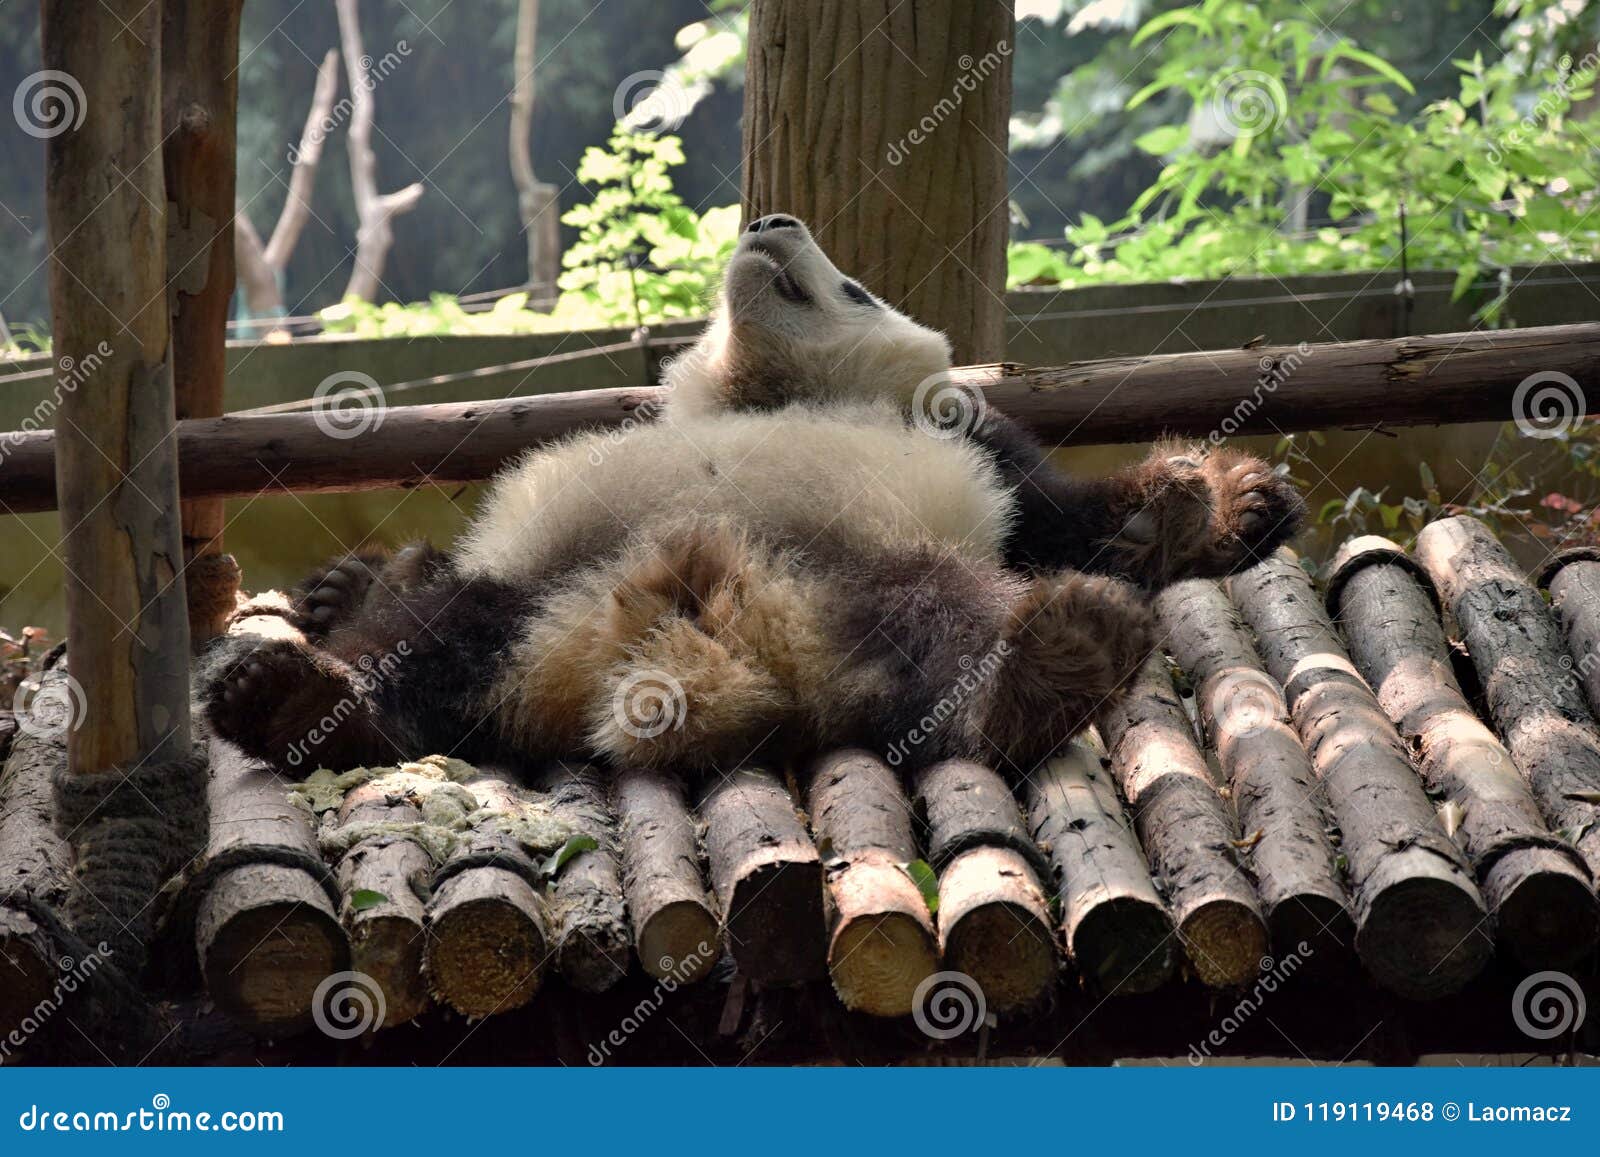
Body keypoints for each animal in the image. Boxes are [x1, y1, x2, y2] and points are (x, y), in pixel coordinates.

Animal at [200, 214, 1304, 779]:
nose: (773, 217)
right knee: (427, 634)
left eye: (856, 287)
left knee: (951, 621)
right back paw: (299, 702)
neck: (762, 386)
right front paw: (344, 586)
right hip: (541, 591)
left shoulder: (978, 454)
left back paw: (1056, 661)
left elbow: (1064, 523)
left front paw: (1213, 504)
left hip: (864, 573)